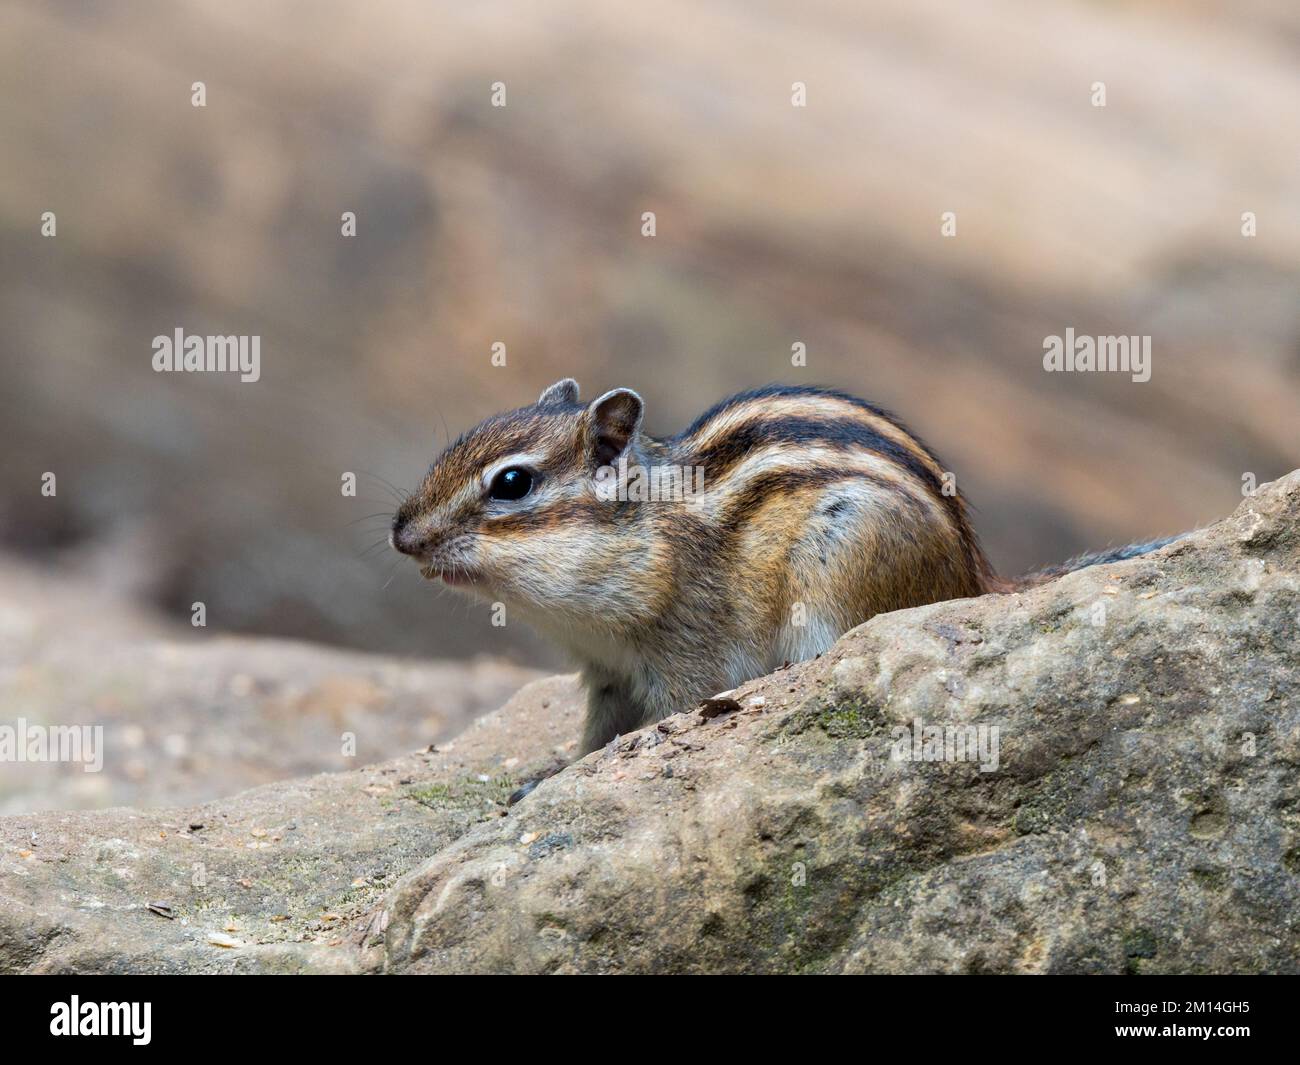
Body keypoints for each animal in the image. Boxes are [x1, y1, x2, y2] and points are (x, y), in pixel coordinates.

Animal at [391, 379, 1178, 755]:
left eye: (512, 483)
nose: (402, 536)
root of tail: (977, 577)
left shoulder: (688, 652)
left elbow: (675, 707)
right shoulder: (608, 673)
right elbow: (595, 737)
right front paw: (548, 776)